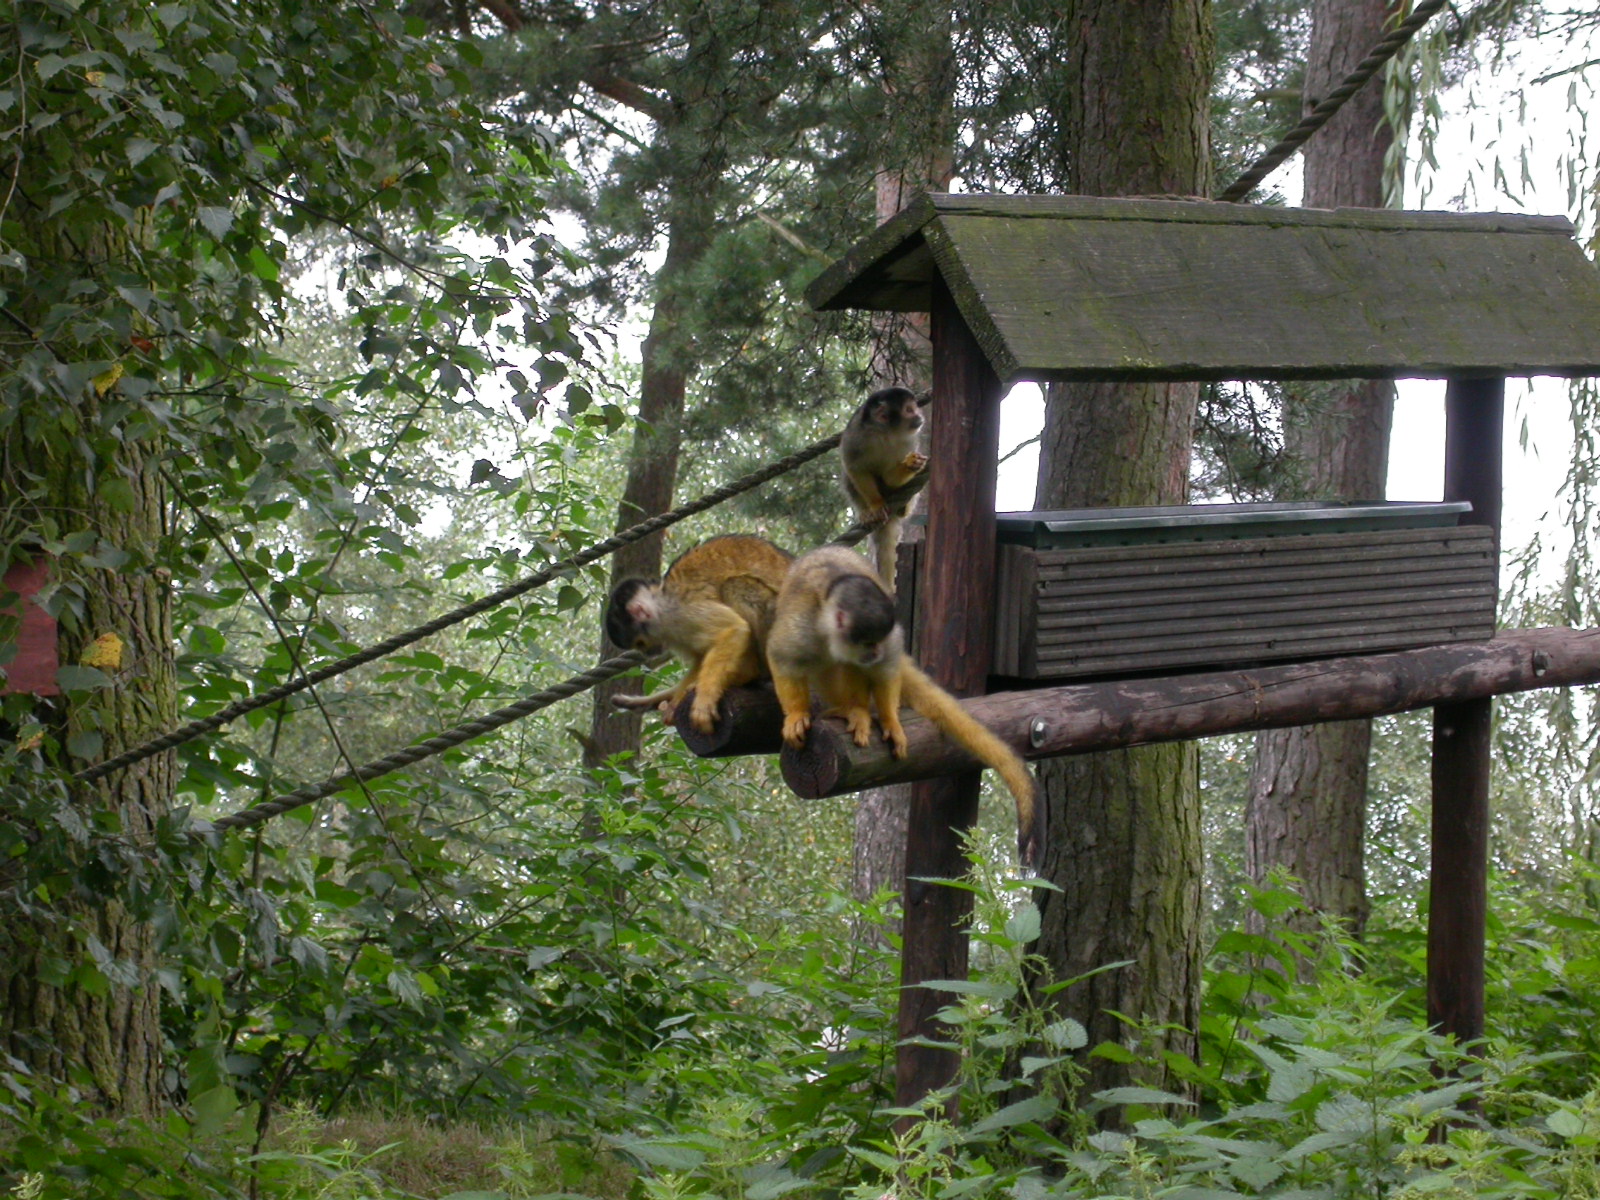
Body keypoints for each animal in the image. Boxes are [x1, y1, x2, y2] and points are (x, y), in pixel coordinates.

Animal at [604, 534, 793, 735]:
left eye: (640, 643)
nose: (648, 653)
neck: (663, 603)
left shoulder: (681, 613)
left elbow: (733, 629)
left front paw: (704, 699)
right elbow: (701, 657)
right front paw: (677, 701)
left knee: (736, 585)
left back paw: (749, 674)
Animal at [765, 545, 1041, 865]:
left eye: (876, 641)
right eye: (867, 642)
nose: (875, 651)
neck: (829, 628)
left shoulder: (887, 637)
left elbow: (884, 669)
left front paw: (889, 720)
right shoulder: (803, 626)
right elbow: (784, 658)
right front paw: (797, 714)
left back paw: (856, 710)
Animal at [840, 386, 927, 594]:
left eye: (915, 408)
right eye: (909, 410)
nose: (920, 416)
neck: (884, 432)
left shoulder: (910, 440)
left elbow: (890, 477)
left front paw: (910, 466)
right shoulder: (855, 434)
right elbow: (855, 467)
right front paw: (876, 505)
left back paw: (903, 510)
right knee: (849, 476)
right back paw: (866, 513)